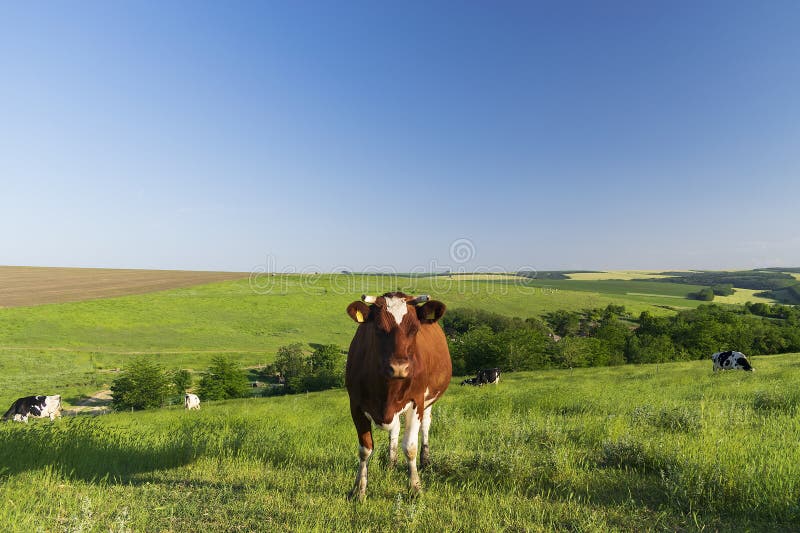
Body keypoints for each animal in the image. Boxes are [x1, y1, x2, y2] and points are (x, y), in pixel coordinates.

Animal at [345, 292, 451, 501]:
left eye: (415, 329)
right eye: (378, 328)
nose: (399, 368)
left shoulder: (416, 401)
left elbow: (410, 447)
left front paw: (416, 487)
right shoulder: (356, 405)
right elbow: (365, 450)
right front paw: (359, 490)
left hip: (428, 402)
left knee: (425, 425)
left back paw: (425, 460)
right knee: (394, 429)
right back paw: (391, 463)